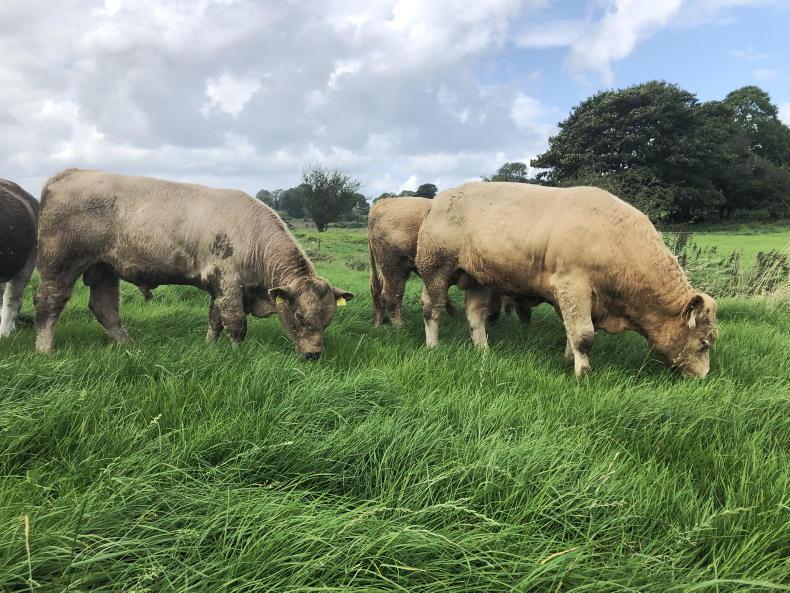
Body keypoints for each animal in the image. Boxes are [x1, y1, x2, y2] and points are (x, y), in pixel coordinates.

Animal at [35, 169, 353, 358]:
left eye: (329, 318)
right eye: (299, 315)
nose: (314, 354)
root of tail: (67, 174)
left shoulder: (217, 288)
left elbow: (215, 321)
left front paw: (209, 348)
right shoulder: (229, 284)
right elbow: (235, 324)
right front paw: (238, 355)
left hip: (103, 269)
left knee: (105, 309)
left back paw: (129, 346)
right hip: (59, 265)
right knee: (48, 303)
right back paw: (44, 349)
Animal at [368, 196, 532, 326]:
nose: (527, 320)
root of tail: (382, 203)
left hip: (386, 269)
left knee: (377, 290)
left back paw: (379, 323)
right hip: (394, 266)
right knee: (391, 295)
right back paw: (399, 326)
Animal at [416, 182, 718, 379]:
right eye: (704, 342)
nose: (704, 376)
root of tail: (437, 201)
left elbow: (571, 333)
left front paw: (568, 359)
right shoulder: (573, 287)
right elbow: (583, 335)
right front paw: (582, 374)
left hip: (479, 280)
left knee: (475, 316)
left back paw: (483, 350)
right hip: (436, 269)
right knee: (432, 308)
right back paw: (432, 346)